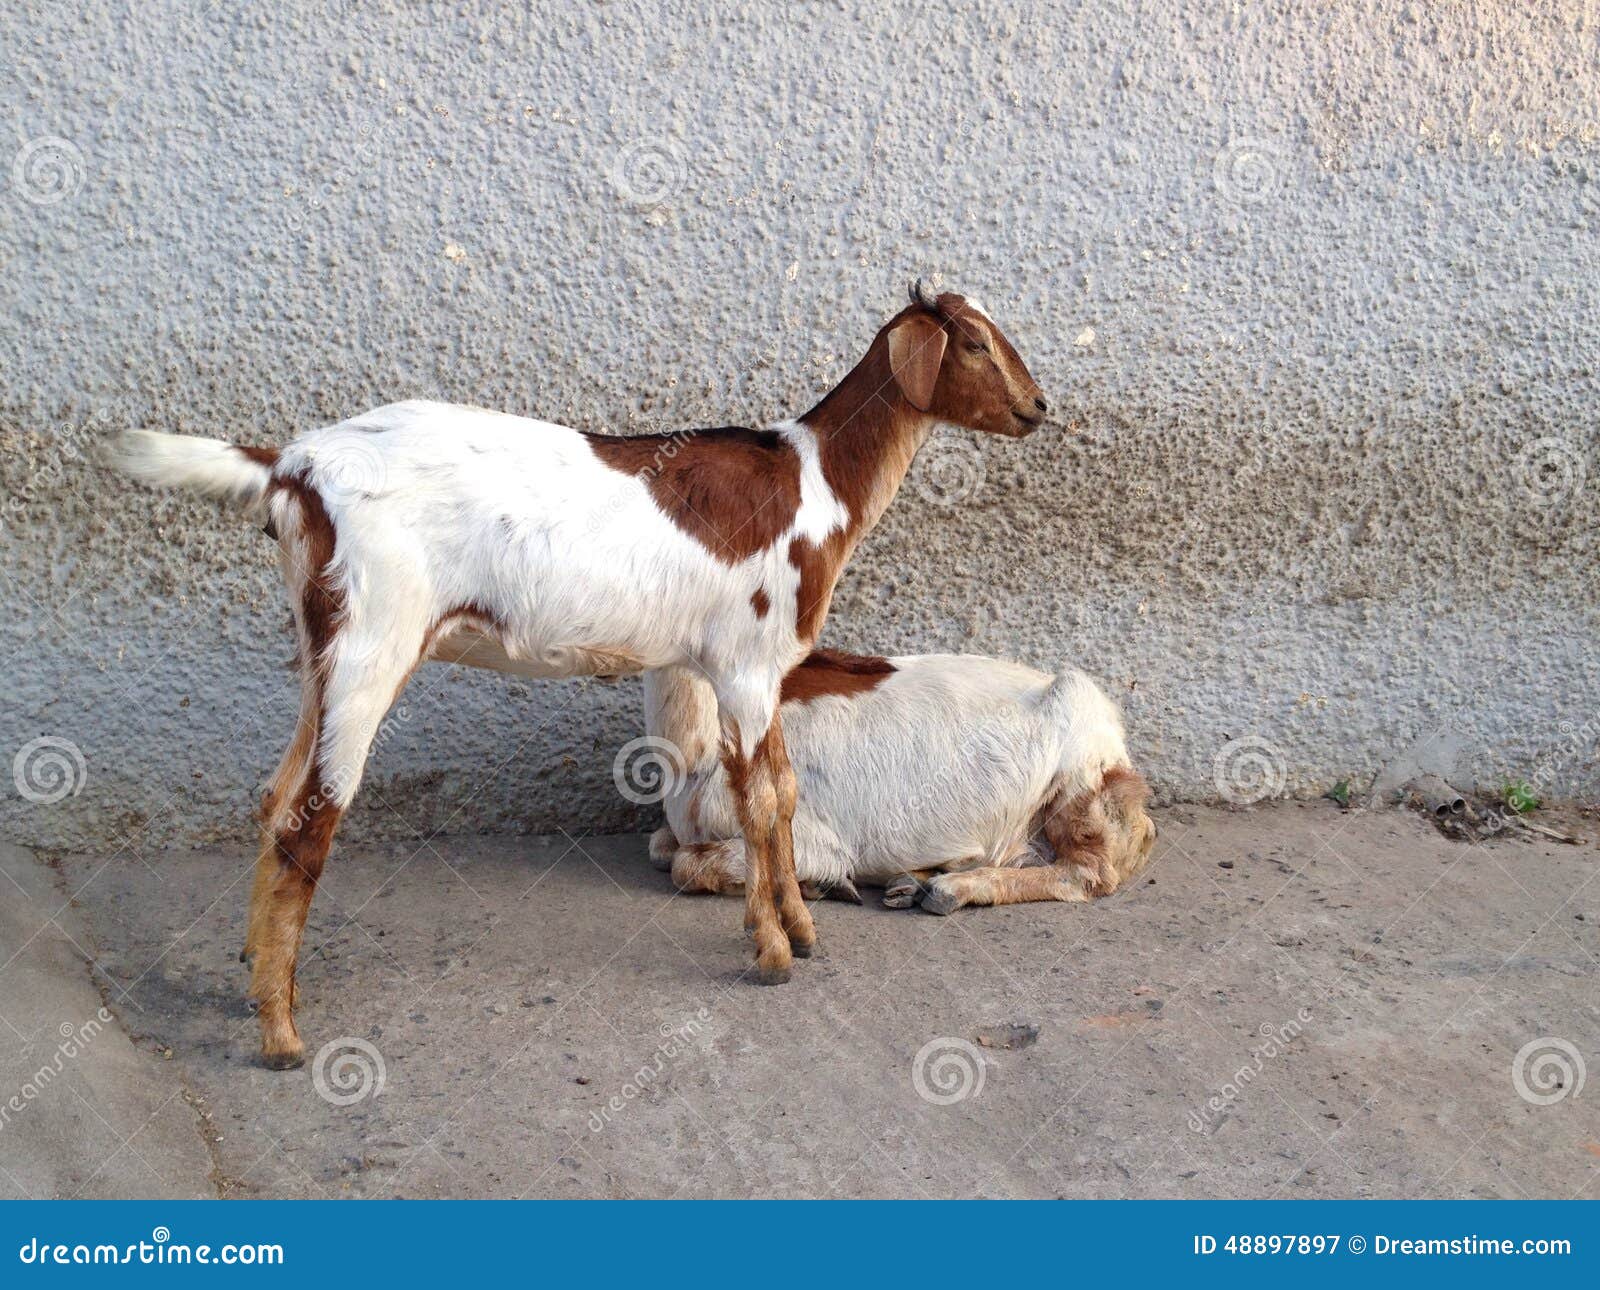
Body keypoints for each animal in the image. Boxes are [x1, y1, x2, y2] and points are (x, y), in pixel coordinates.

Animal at [104, 284, 1046, 1067]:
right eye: (971, 342)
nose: (1039, 406)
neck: (817, 483)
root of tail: (294, 466)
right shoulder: (745, 664)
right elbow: (756, 803)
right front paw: (773, 953)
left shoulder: (756, 669)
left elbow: (780, 794)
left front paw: (803, 930)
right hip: (373, 639)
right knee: (310, 817)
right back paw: (281, 1033)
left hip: (323, 646)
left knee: (275, 795)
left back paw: (258, 973)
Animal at [645, 649, 1156, 913]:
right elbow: (662, 848)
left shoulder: (809, 839)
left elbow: (686, 865)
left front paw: (823, 883)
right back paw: (915, 882)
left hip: (1080, 778)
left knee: (1090, 871)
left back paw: (950, 891)